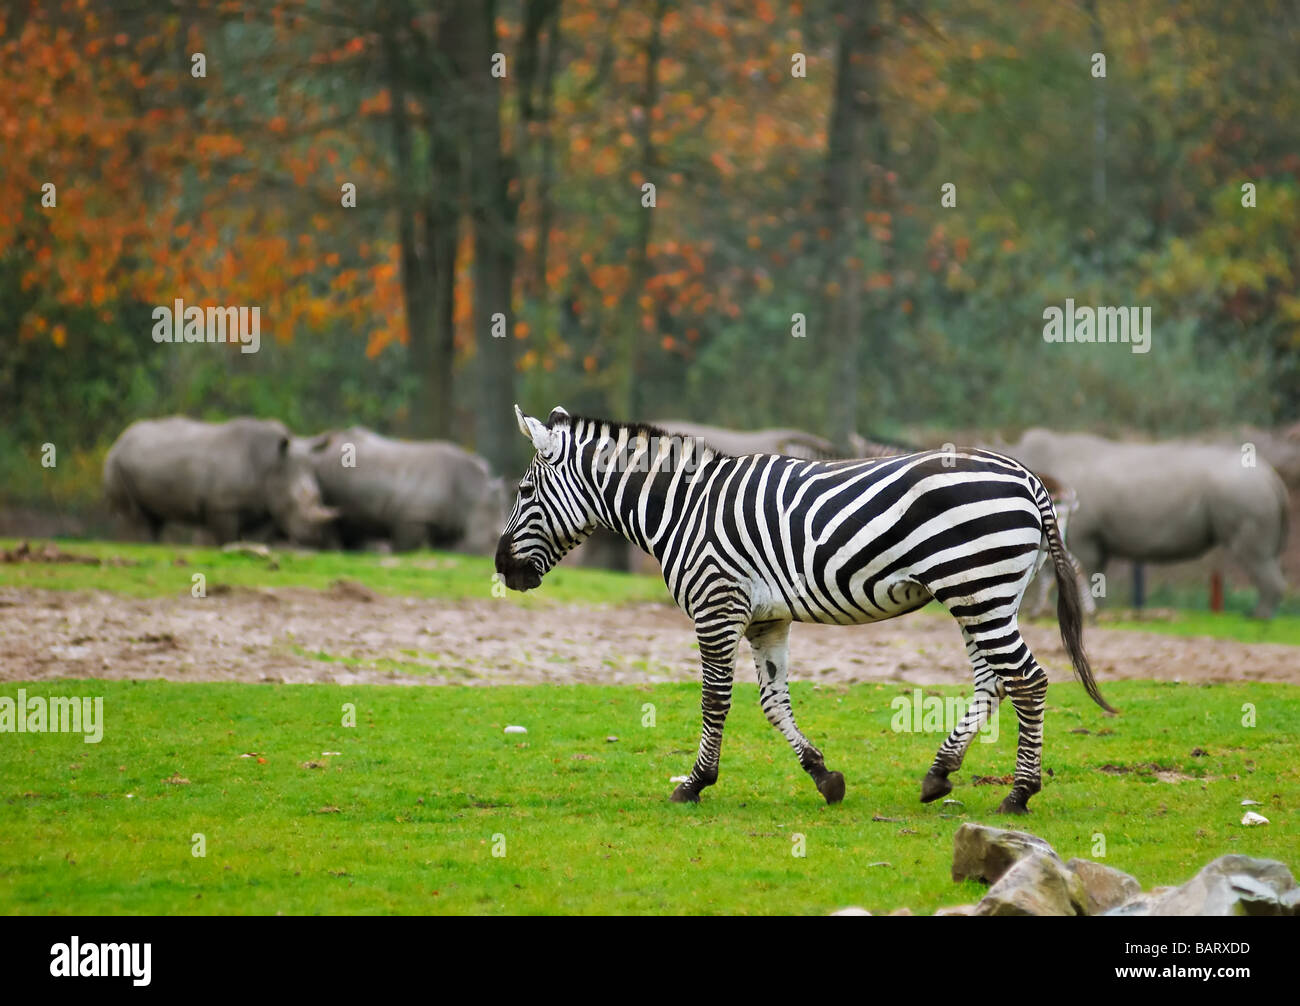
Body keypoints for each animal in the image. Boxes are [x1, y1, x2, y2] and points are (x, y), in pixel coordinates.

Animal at [496, 406, 1116, 814]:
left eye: (524, 493)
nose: (502, 568)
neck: (684, 508)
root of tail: (1029, 477)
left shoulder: (715, 605)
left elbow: (715, 700)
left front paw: (694, 783)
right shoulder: (766, 618)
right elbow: (773, 702)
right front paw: (823, 776)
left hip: (978, 588)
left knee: (1029, 680)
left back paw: (1019, 794)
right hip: (983, 595)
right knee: (995, 681)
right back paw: (939, 775)